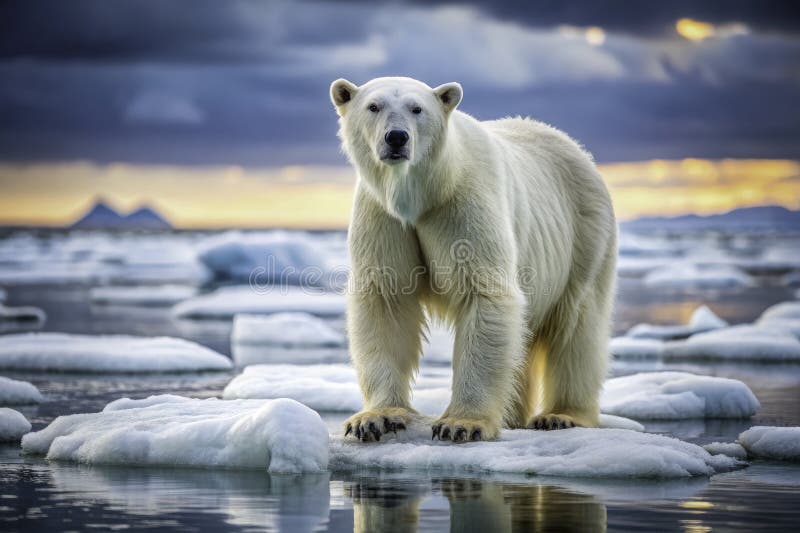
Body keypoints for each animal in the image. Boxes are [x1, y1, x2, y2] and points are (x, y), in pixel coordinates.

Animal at [330, 76, 616, 442]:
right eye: (373, 106)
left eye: (417, 108)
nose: (396, 137)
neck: (425, 192)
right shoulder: (383, 216)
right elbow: (385, 299)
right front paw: (375, 419)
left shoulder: (462, 205)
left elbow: (484, 294)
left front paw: (460, 423)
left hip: (585, 236)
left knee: (577, 325)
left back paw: (562, 415)